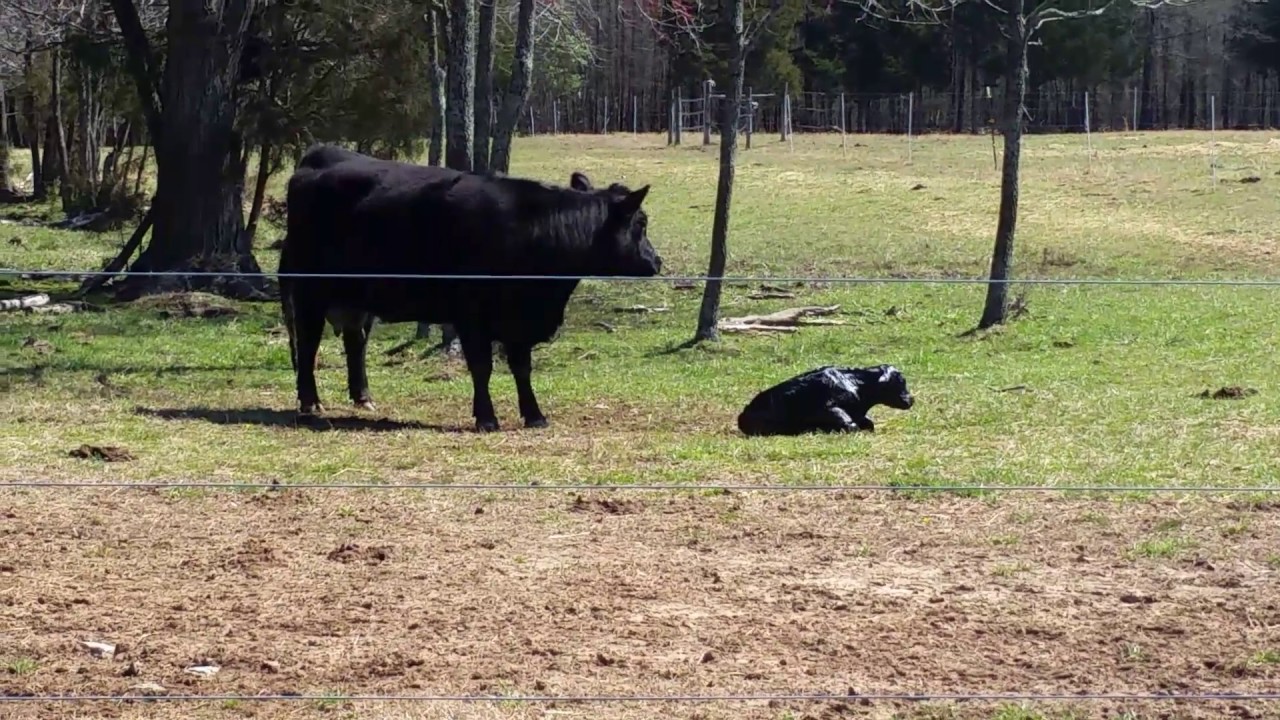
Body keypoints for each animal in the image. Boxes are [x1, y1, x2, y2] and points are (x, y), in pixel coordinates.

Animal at [278, 144, 663, 433]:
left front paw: (534, 415)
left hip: (356, 297)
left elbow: (521, 368)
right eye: (641, 223)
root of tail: (321, 154)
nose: (656, 261)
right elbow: (482, 366)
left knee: (354, 340)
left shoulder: (518, 321)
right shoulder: (471, 315)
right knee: (309, 343)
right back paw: (310, 402)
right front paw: (487, 418)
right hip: (310, 291)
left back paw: (363, 397)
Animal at [736, 364, 915, 437]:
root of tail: (743, 414)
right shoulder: (827, 408)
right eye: (900, 382)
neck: (856, 383)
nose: (911, 399)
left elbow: (868, 423)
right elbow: (848, 423)